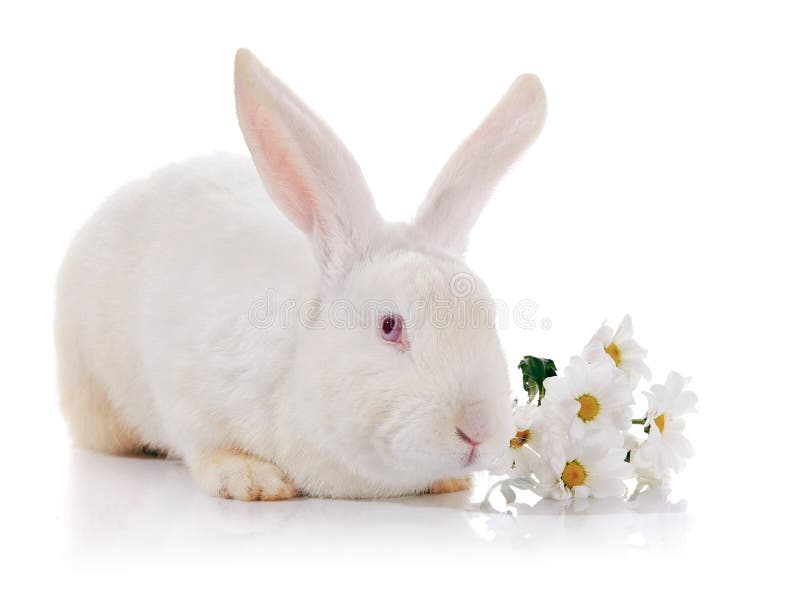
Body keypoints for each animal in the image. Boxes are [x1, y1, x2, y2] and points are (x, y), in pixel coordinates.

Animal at [55, 48, 547, 501]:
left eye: (489, 317)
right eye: (389, 326)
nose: (477, 427)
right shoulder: (188, 391)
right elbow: (208, 444)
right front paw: (251, 480)